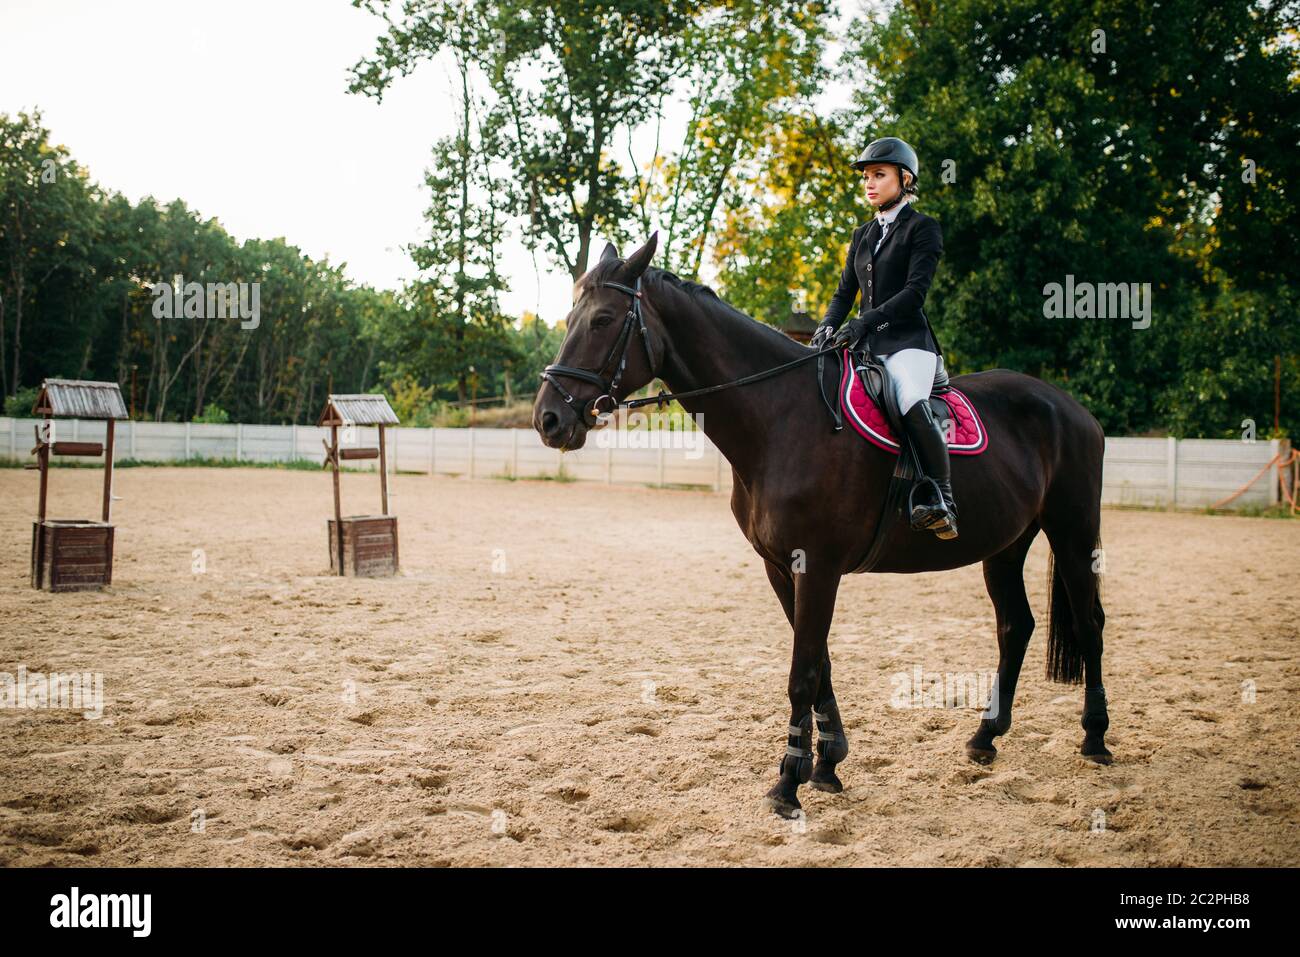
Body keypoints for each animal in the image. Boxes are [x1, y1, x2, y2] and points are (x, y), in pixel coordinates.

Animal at [532, 233, 1111, 818]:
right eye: (570, 317)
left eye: (604, 320)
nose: (548, 420)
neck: (781, 418)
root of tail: (1070, 406)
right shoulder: (780, 567)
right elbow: (820, 663)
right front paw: (829, 763)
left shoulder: (817, 565)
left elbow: (802, 673)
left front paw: (788, 781)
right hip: (1005, 546)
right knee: (1016, 626)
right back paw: (985, 737)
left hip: (1073, 531)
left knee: (1089, 624)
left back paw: (1095, 738)